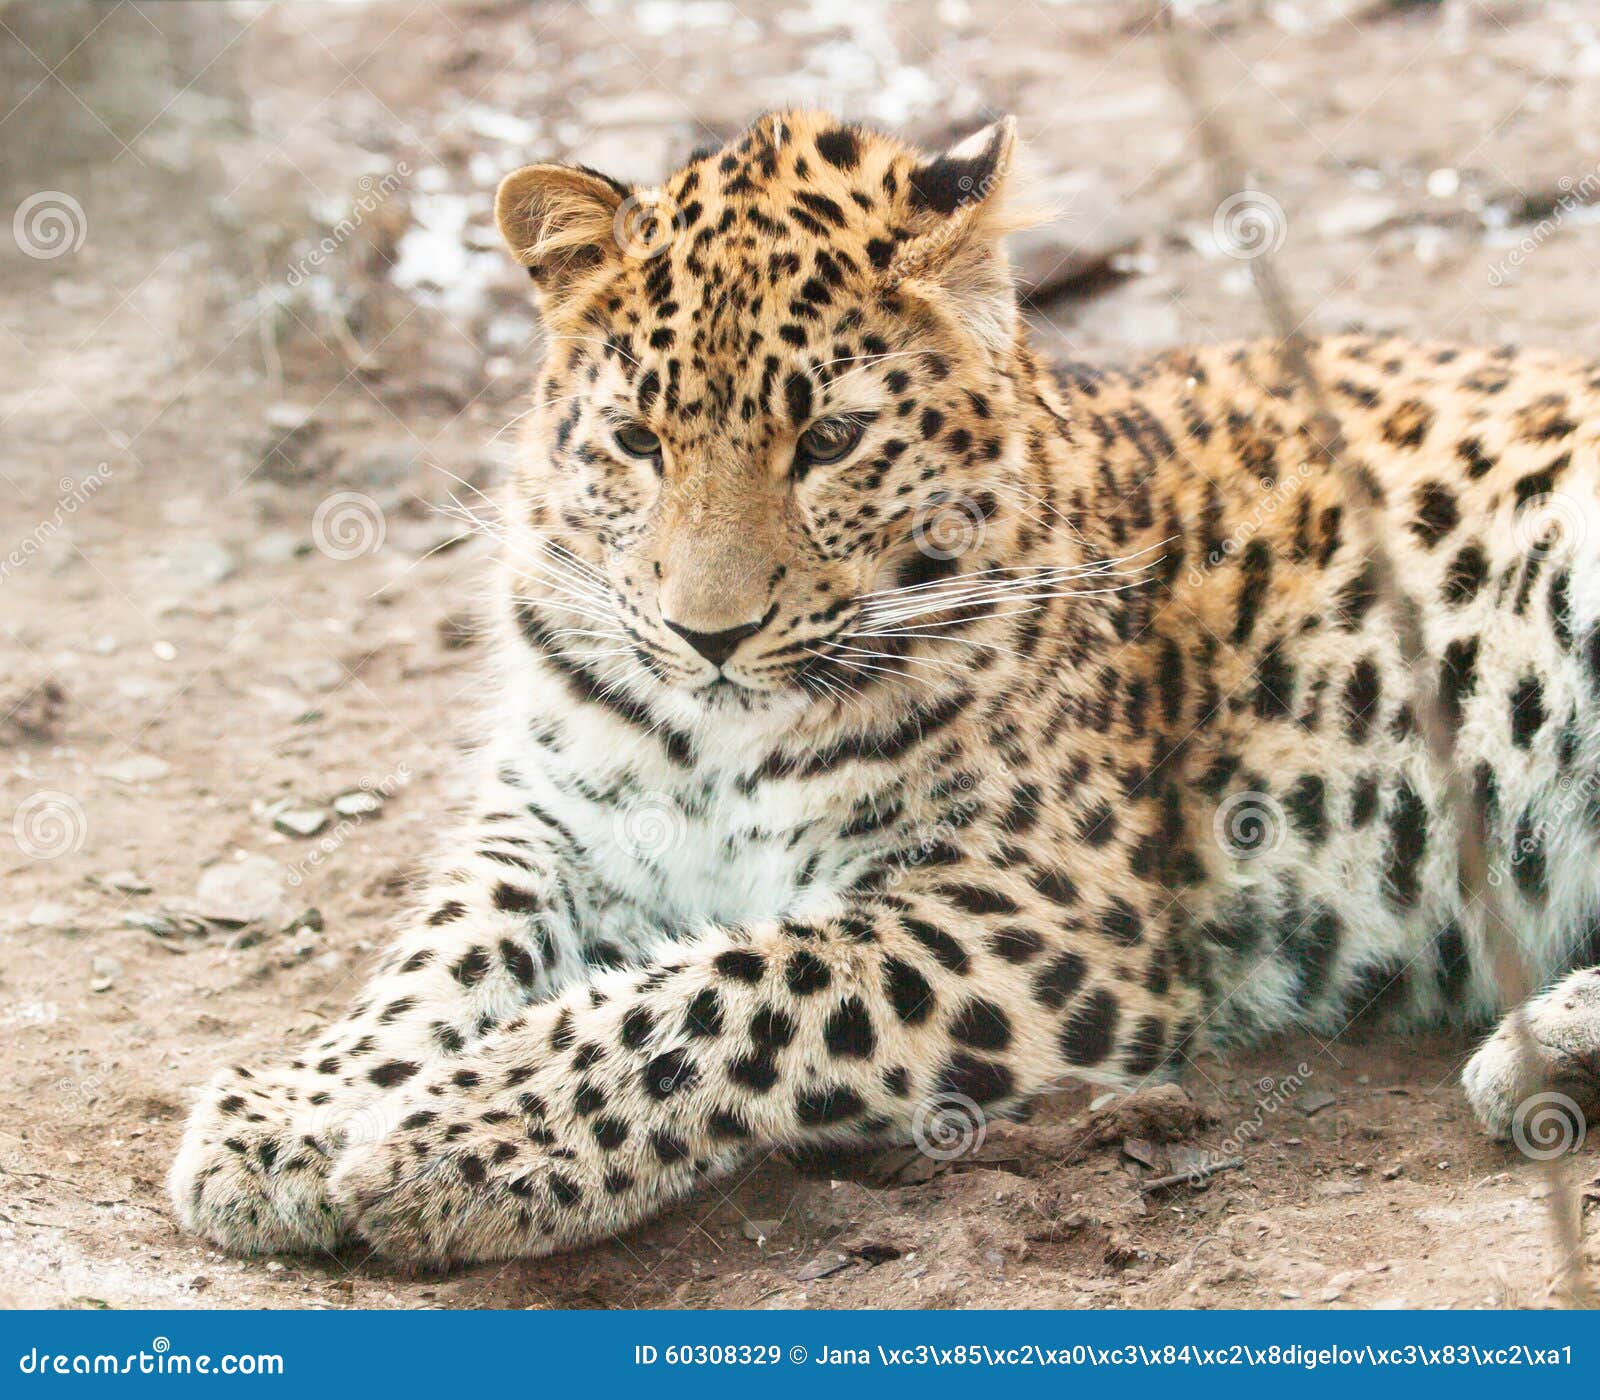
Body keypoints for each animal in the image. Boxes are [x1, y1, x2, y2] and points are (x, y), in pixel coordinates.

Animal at [170, 110, 1600, 1270]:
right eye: (635, 441)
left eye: (831, 439)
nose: (707, 633)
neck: (711, 736)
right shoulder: (556, 829)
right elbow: (436, 957)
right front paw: (293, 1112)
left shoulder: (1040, 907)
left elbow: (722, 990)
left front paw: (459, 1133)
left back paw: (1535, 1052)